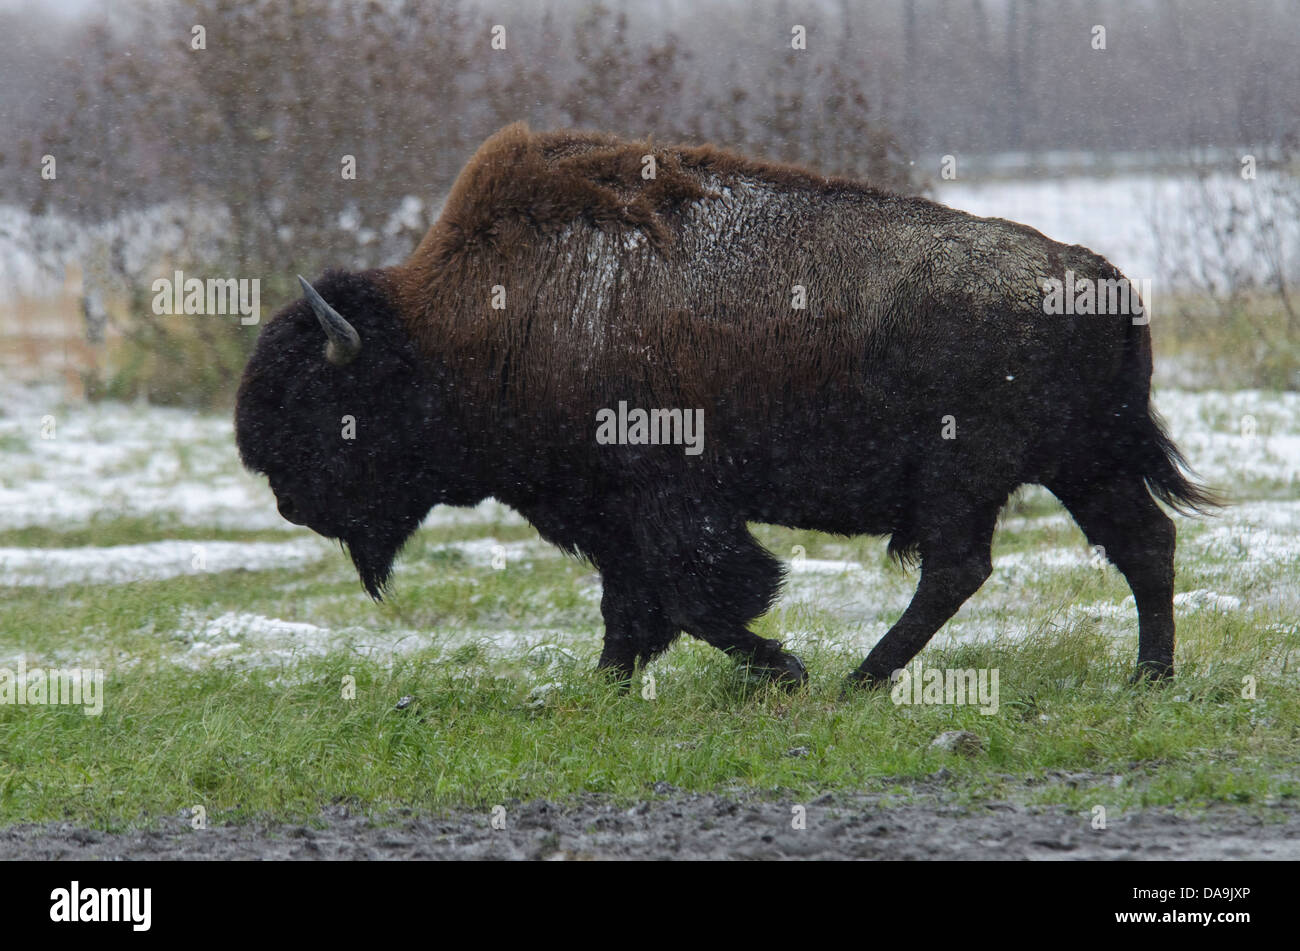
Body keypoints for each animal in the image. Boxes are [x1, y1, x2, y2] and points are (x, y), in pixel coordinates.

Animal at [235, 122, 1216, 689]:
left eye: (324, 403)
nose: (287, 500)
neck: (457, 329)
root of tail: (1098, 275)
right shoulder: (610, 518)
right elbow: (633, 608)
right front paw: (603, 686)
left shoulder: (665, 503)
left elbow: (698, 600)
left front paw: (784, 670)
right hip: (1079, 463)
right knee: (1141, 544)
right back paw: (1149, 678)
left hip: (974, 472)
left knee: (960, 568)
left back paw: (859, 679)